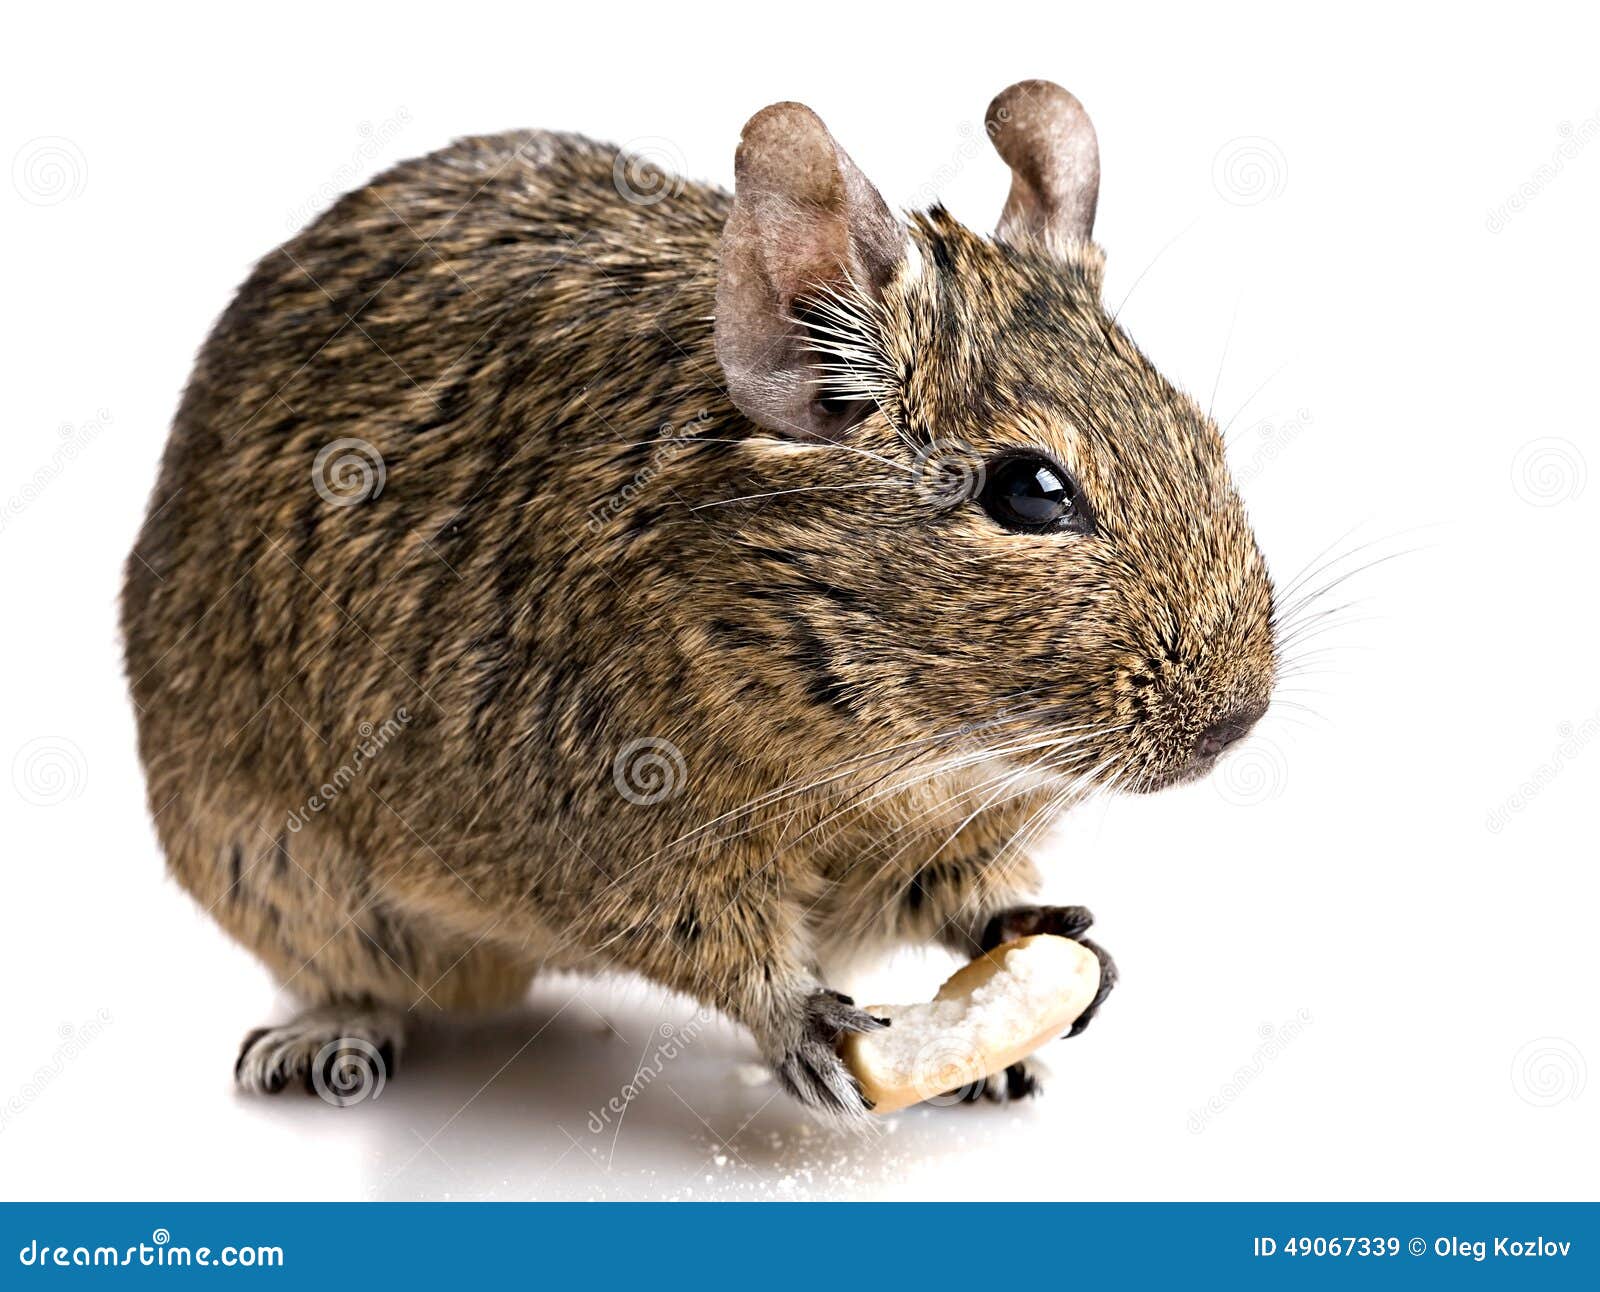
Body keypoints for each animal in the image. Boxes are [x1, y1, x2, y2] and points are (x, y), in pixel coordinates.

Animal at [121, 81, 1276, 1120]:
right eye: (1030, 491)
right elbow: (718, 947)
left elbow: (960, 895)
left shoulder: (937, 838)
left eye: (1203, 436)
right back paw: (324, 1042)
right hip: (265, 863)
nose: (1239, 718)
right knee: (346, 975)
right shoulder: (615, 828)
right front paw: (810, 1033)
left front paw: (1052, 953)